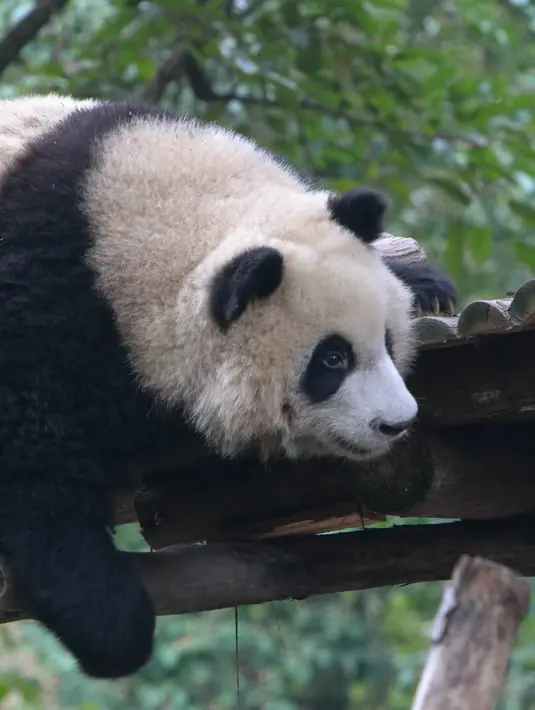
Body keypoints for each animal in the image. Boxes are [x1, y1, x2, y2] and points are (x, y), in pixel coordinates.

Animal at [0, 96, 457, 679]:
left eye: (388, 342)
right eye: (332, 359)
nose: (396, 423)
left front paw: (428, 285)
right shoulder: (41, 295)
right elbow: (31, 454)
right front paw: (113, 624)